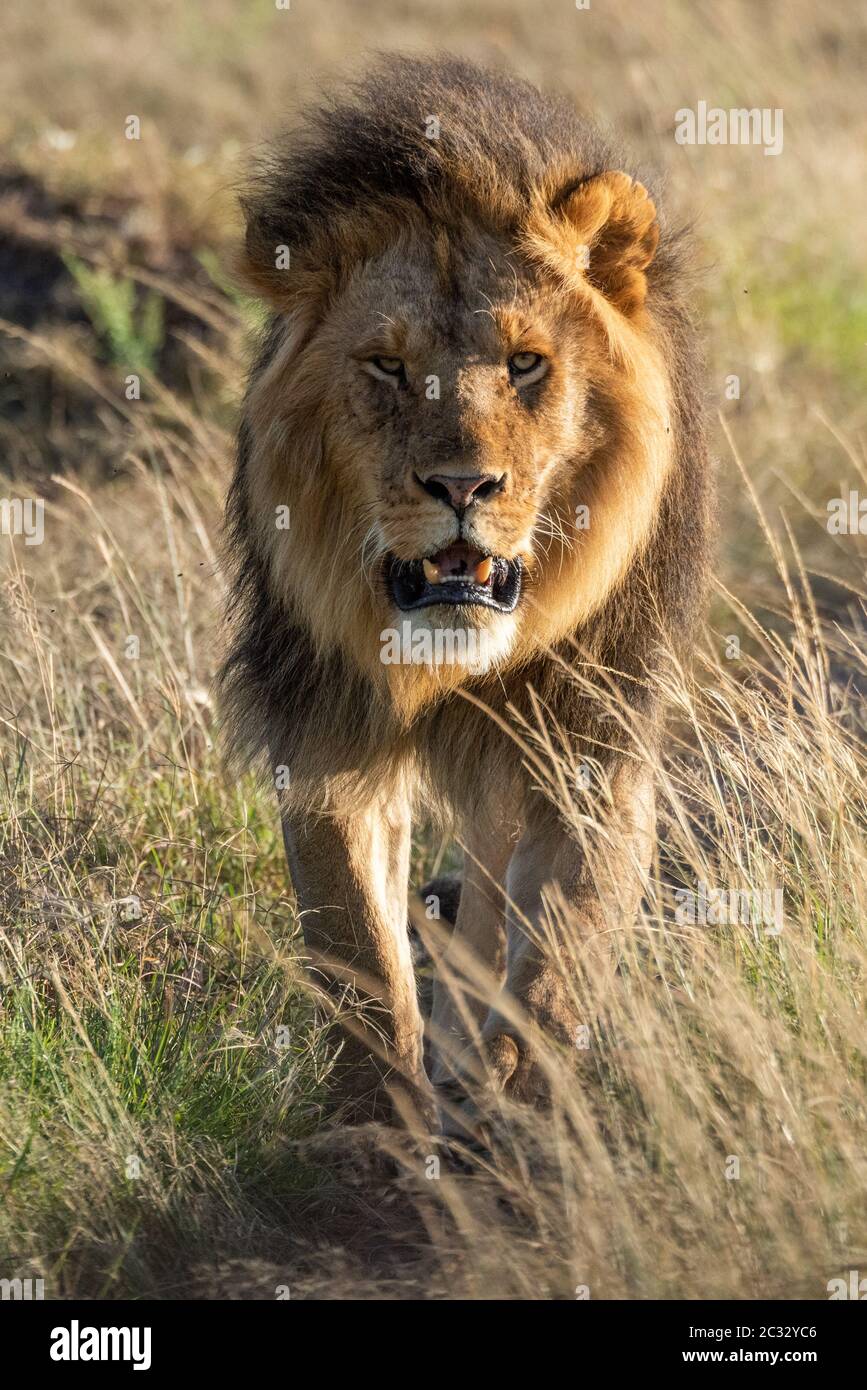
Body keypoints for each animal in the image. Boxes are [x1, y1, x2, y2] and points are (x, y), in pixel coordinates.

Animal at [219, 55, 710, 1127]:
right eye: (387, 366)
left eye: (526, 363)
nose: (460, 487)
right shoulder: (328, 728)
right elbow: (355, 943)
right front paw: (378, 1124)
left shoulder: (589, 741)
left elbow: (556, 956)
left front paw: (516, 1108)